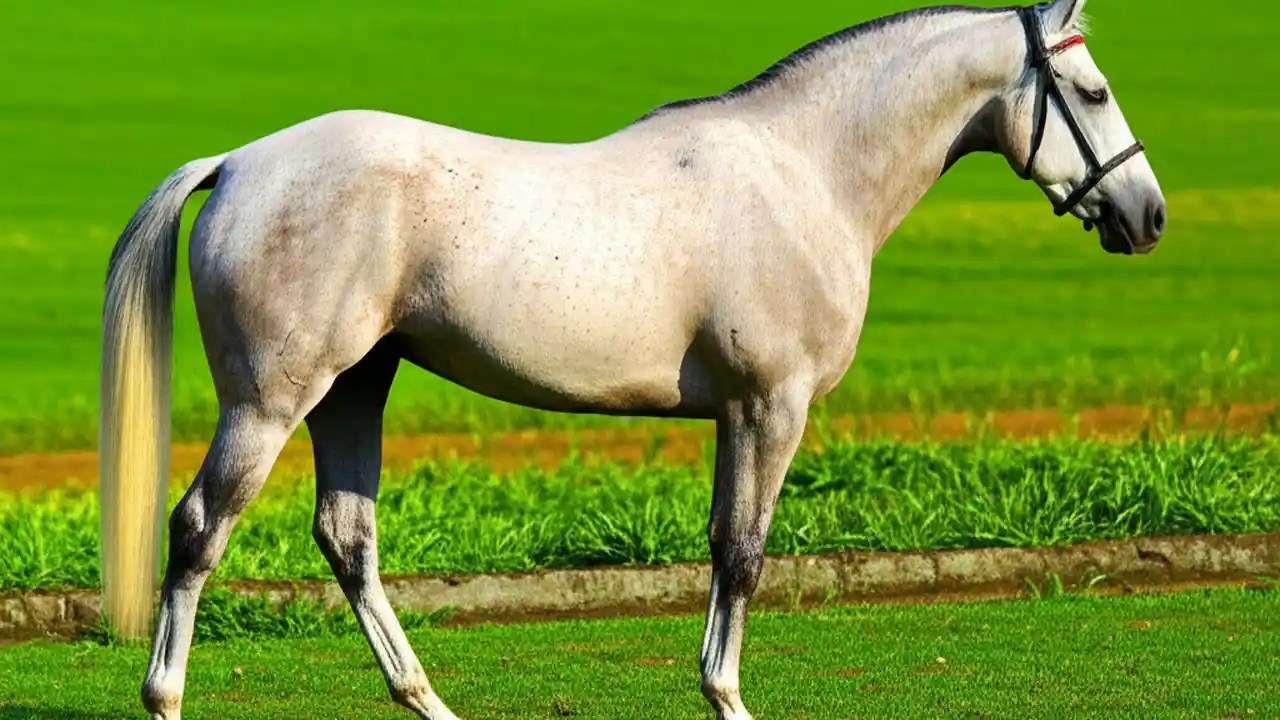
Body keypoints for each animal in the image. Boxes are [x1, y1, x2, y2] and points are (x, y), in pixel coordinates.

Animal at [99, 1, 1164, 717]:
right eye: (1095, 91)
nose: (1147, 215)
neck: (804, 172)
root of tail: (238, 163)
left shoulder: (741, 414)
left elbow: (727, 546)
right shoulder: (769, 407)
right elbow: (742, 554)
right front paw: (726, 694)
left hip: (355, 387)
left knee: (348, 539)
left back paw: (426, 697)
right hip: (271, 402)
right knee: (199, 529)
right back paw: (165, 696)